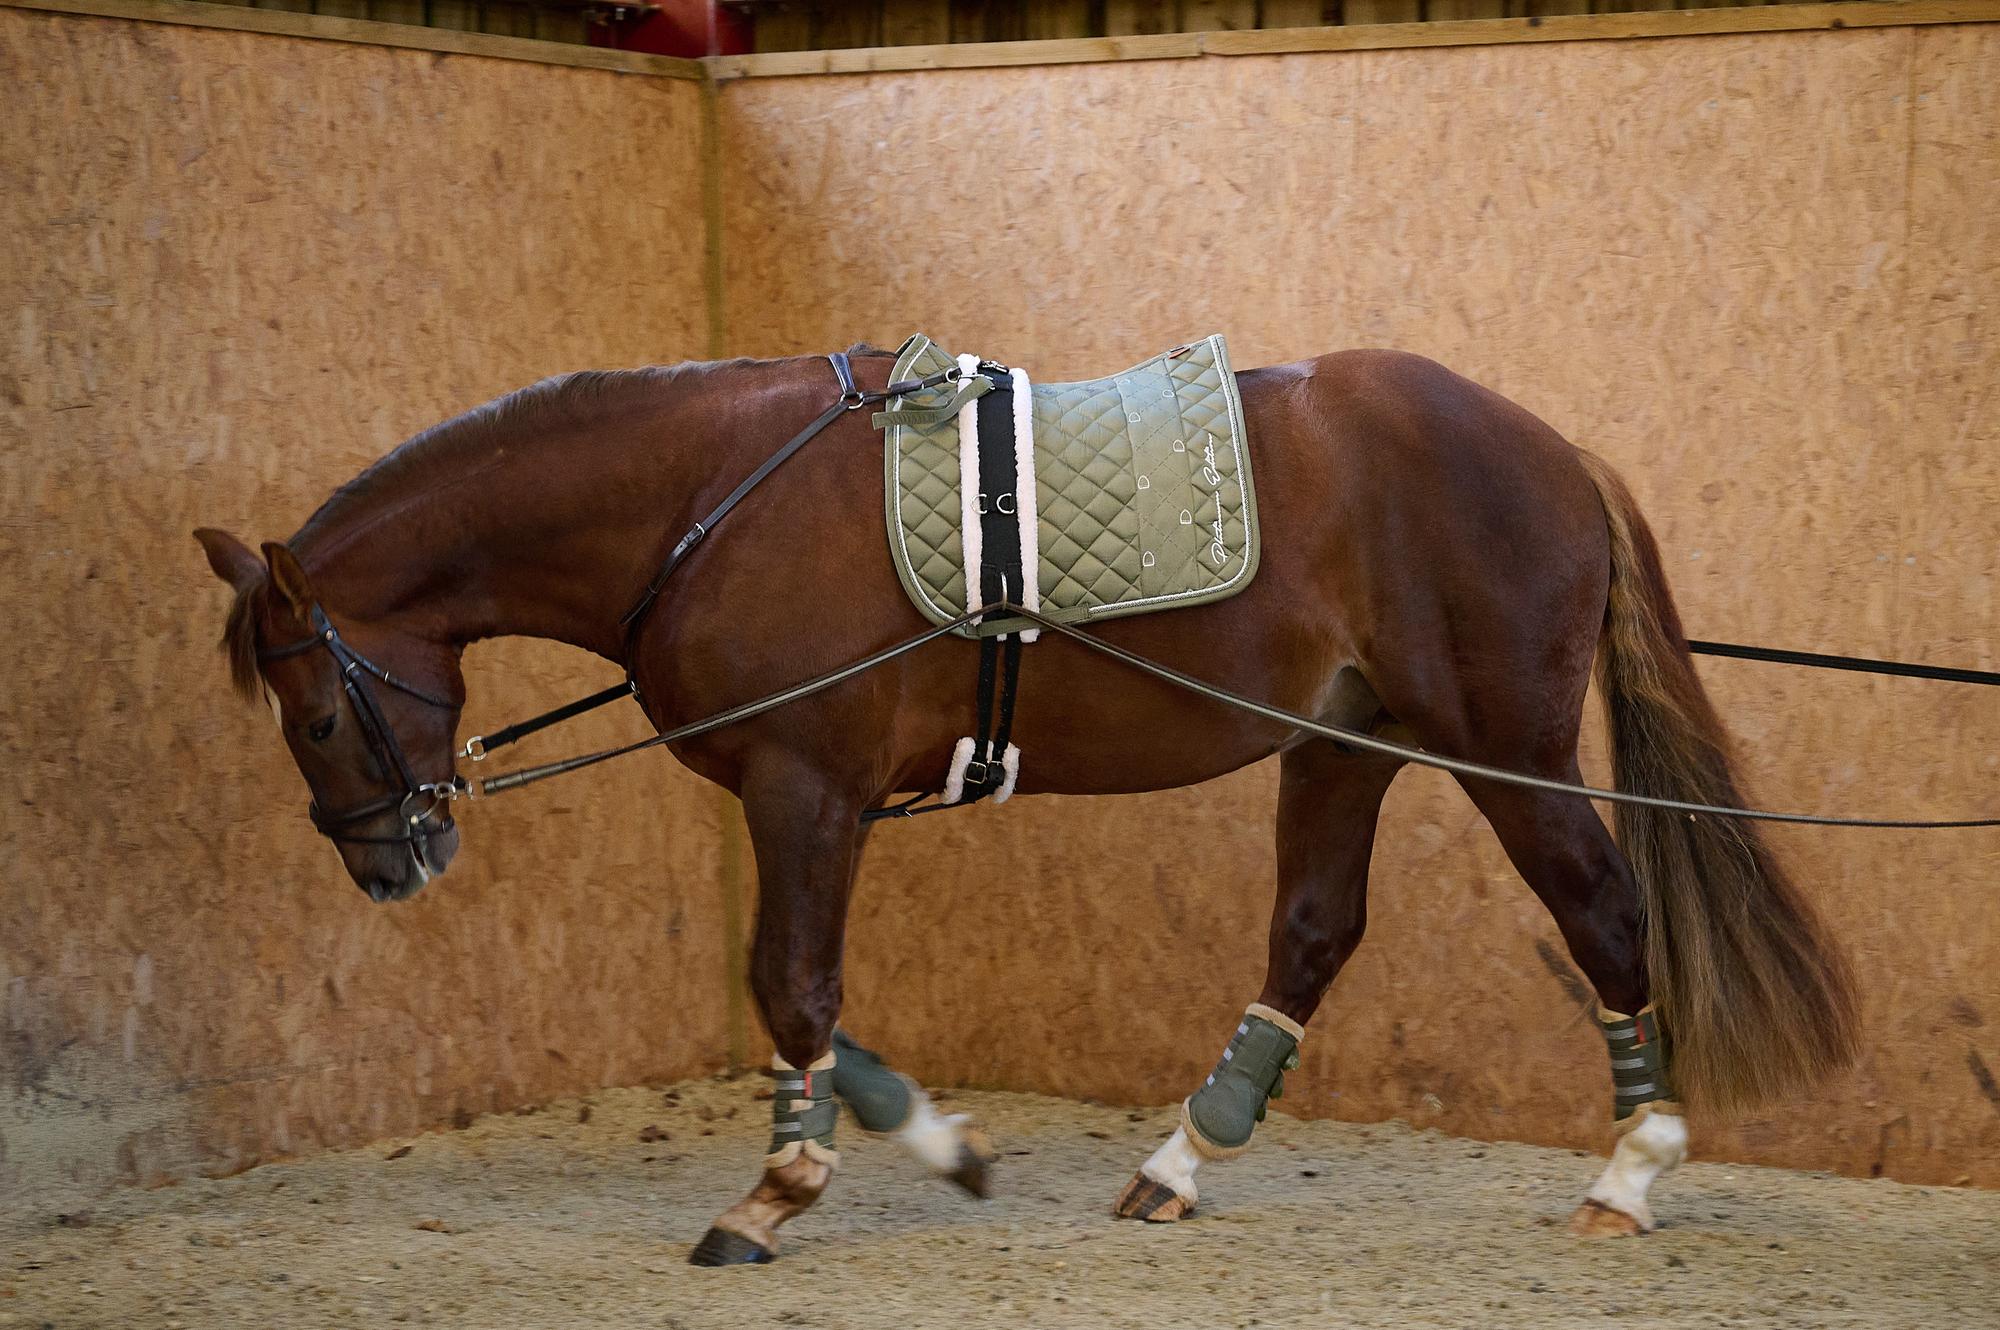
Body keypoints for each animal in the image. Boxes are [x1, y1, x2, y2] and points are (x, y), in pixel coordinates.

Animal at [195, 343, 1857, 1265]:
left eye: (318, 707)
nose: (392, 862)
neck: (703, 501)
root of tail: (1550, 447)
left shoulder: (804, 787)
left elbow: (789, 983)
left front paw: (778, 1190)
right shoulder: (817, 801)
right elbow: (805, 995)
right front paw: (930, 1140)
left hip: (1497, 744)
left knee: (1603, 914)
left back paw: (1630, 1174)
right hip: (1348, 740)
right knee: (1315, 931)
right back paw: (1181, 1160)